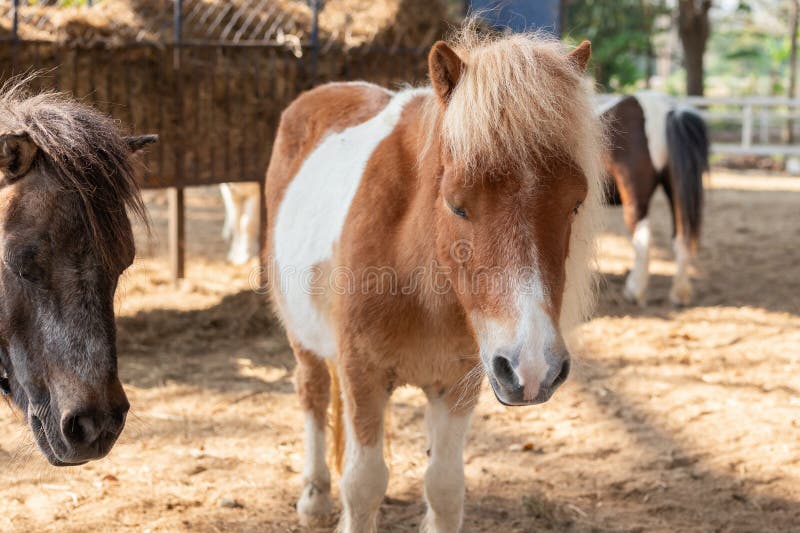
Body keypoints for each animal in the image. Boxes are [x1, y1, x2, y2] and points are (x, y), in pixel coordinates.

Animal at [265, 25, 605, 532]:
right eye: (457, 204)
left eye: (576, 203)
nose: (532, 369)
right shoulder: (363, 374)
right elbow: (363, 485)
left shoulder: (459, 383)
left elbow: (444, 488)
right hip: (302, 337)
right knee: (313, 394)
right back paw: (314, 496)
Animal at [598, 91, 709, 306]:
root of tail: (667, 110)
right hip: (676, 191)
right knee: (681, 236)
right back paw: (679, 293)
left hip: (635, 198)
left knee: (643, 240)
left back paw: (635, 291)